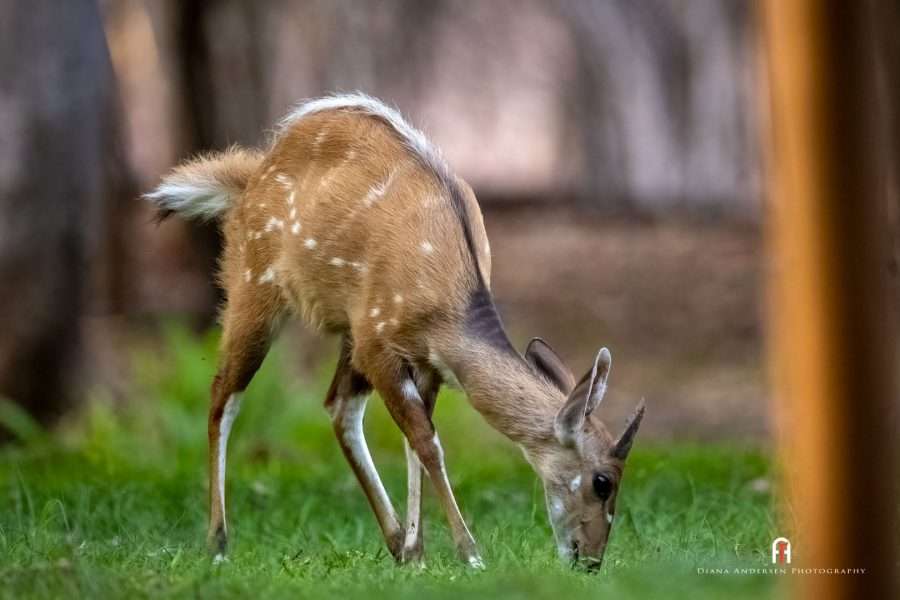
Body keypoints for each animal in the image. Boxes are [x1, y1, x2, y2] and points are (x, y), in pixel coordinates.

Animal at [146, 93, 645, 570]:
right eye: (603, 481)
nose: (591, 561)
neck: (448, 309)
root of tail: (246, 178)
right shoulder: (380, 343)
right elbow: (429, 444)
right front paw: (470, 554)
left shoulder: (423, 360)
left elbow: (413, 444)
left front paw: (417, 551)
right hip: (256, 286)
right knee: (223, 395)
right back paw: (218, 543)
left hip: (347, 326)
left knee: (338, 406)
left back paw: (393, 542)